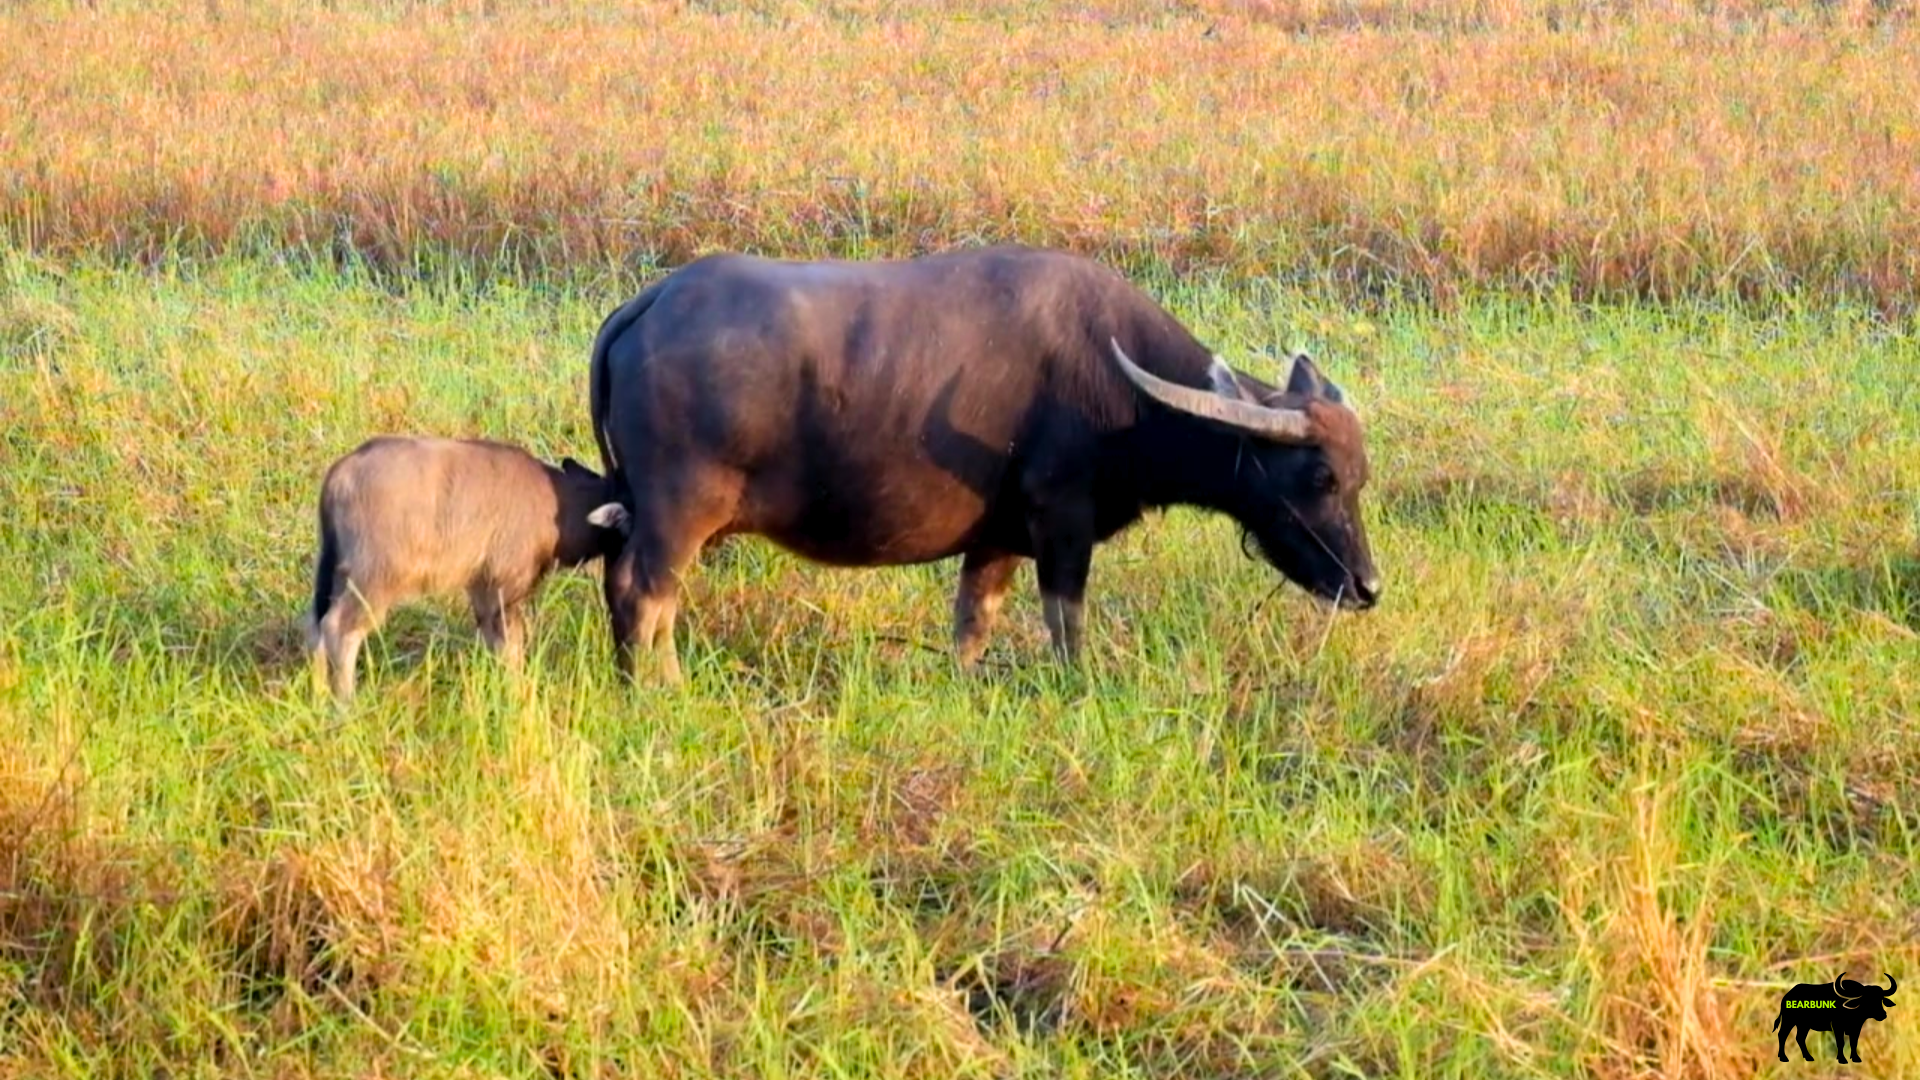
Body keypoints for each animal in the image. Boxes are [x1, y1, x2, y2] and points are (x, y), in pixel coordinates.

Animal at [588, 244, 1379, 683]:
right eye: (1320, 477)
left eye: (1360, 477)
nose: (1368, 586)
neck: (1123, 387)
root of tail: (652, 303)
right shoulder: (1062, 522)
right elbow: (1067, 625)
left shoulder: (996, 540)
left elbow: (973, 624)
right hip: (678, 513)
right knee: (642, 594)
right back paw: (662, 689)